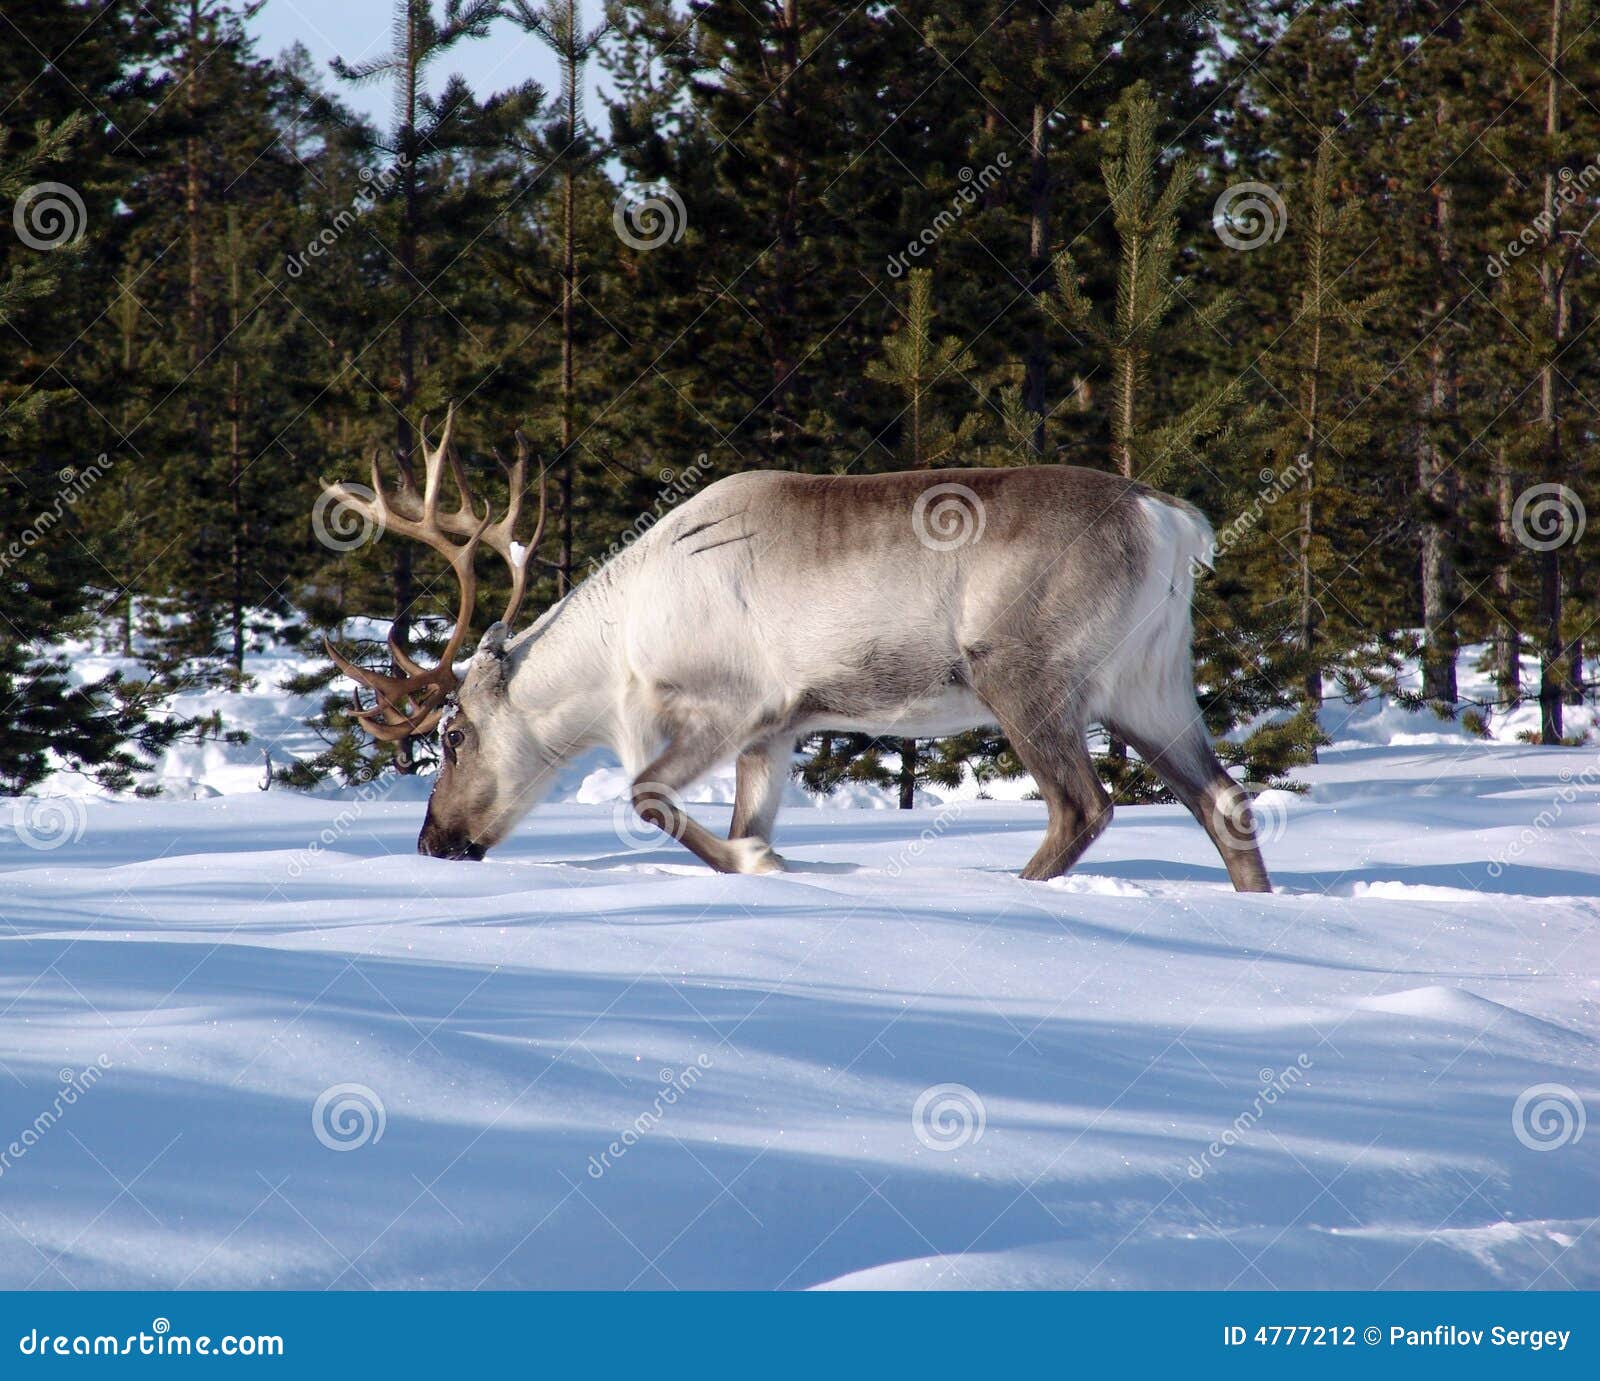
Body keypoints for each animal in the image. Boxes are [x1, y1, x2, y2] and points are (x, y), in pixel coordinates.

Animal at [322, 407, 1271, 892]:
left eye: (453, 735)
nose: (432, 842)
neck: (618, 646)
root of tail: (1168, 518)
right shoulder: (774, 734)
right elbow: (736, 814)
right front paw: (761, 857)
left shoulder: (727, 707)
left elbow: (647, 796)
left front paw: (760, 859)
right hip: (1149, 681)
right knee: (1225, 802)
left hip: (1026, 677)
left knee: (1085, 805)